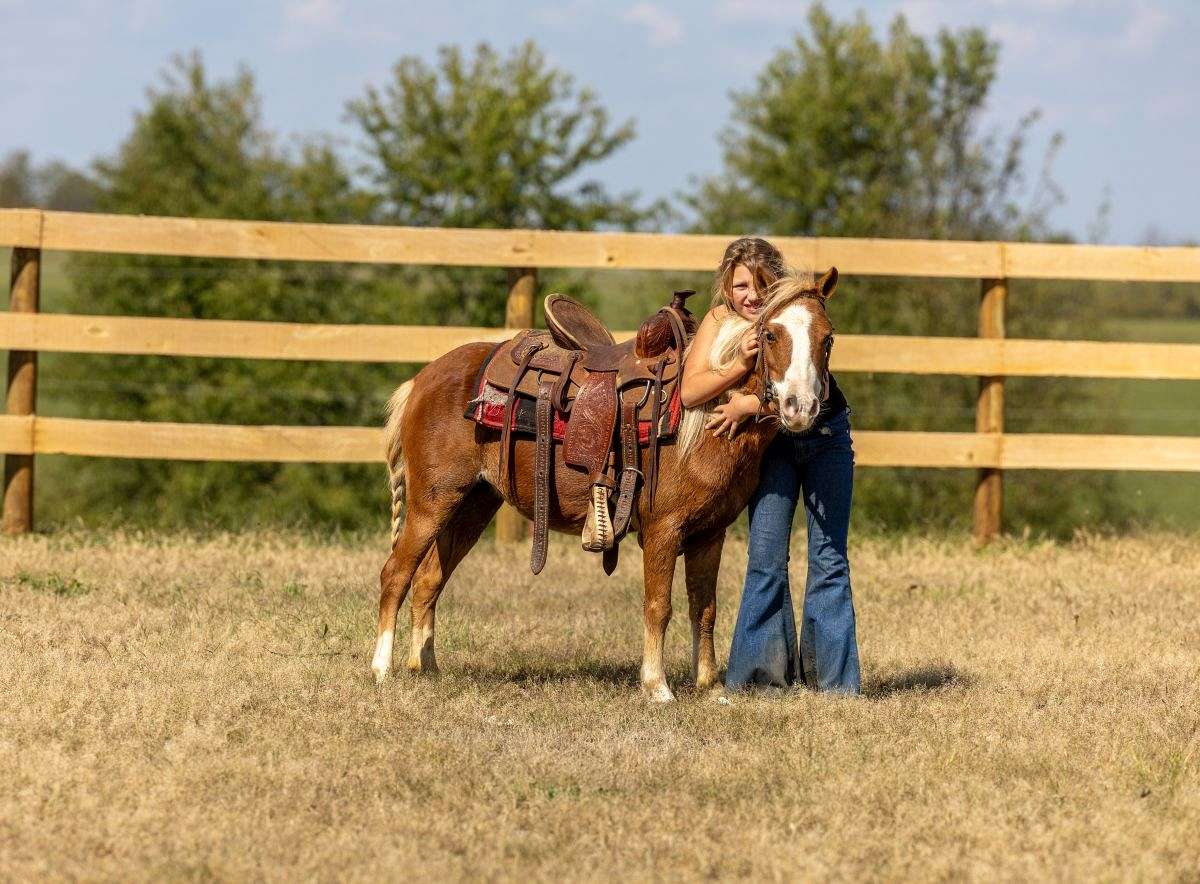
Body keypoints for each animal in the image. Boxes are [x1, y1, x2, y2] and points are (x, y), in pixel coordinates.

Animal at [371, 267, 840, 701]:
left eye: (828, 339)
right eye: (770, 334)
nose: (800, 407)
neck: (701, 418)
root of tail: (424, 378)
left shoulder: (710, 532)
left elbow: (704, 609)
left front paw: (710, 688)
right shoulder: (664, 529)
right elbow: (659, 605)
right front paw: (657, 687)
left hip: (472, 504)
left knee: (429, 580)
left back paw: (425, 668)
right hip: (431, 503)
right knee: (396, 574)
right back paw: (381, 670)